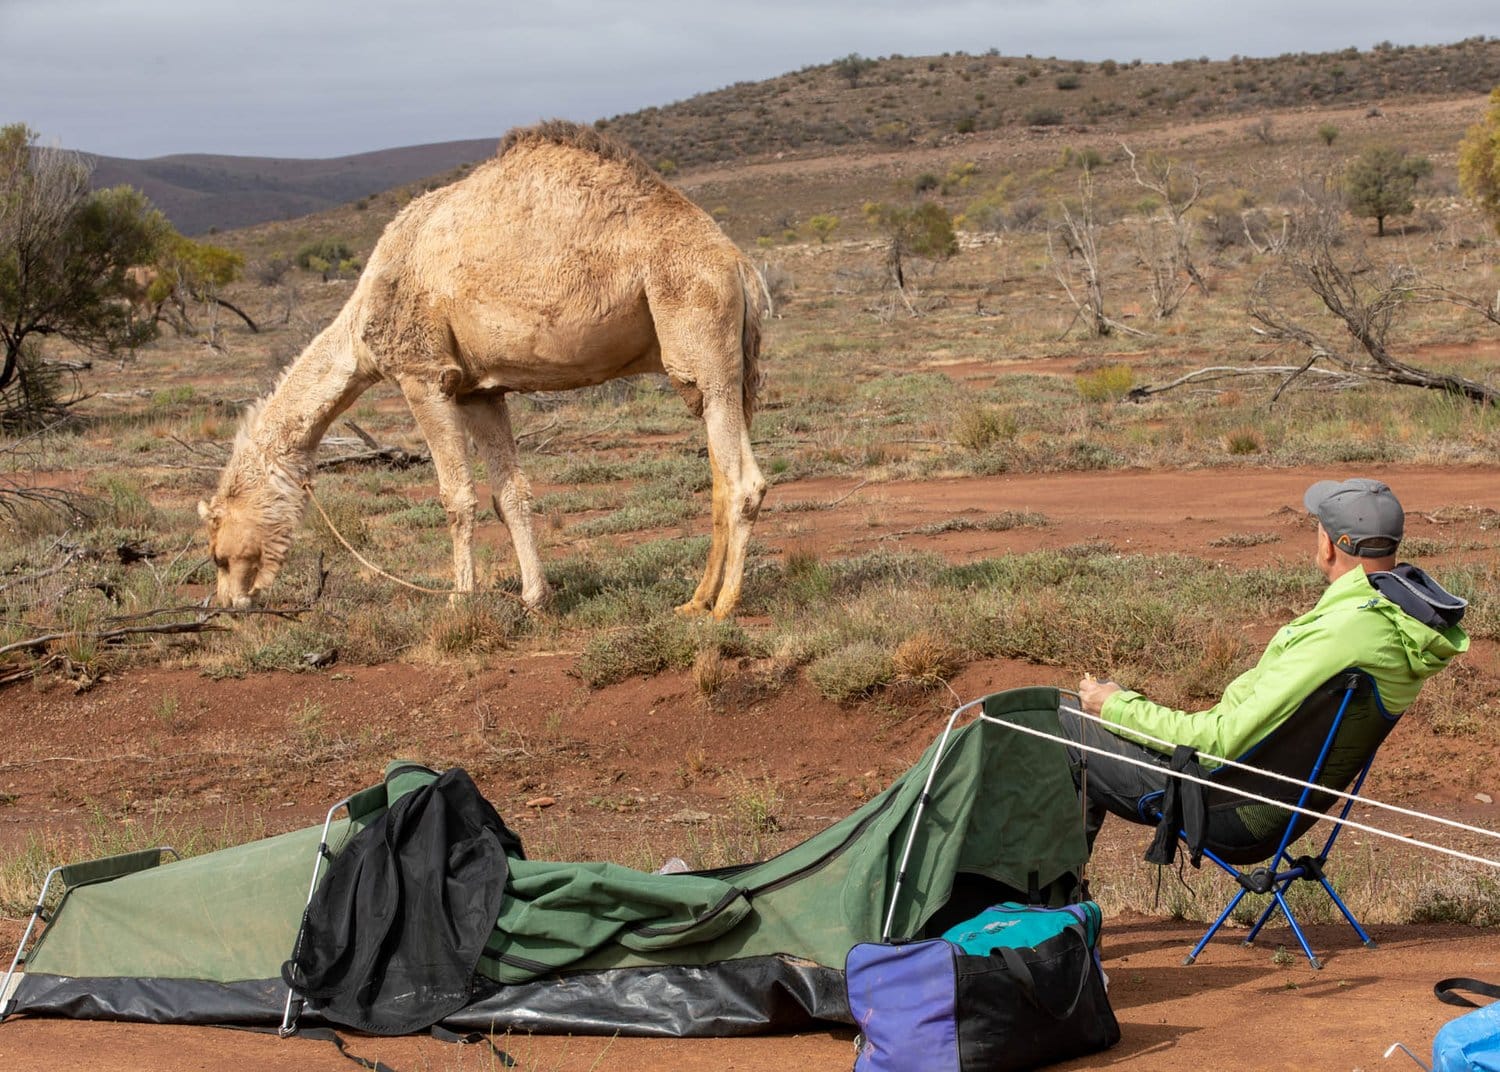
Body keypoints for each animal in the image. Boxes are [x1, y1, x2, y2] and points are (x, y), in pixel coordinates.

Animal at [200, 120, 768, 619]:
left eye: (218, 551)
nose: (228, 604)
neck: (360, 327)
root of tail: (740, 263)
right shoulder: (480, 391)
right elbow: (510, 495)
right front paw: (535, 598)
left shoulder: (424, 376)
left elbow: (457, 498)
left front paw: (458, 600)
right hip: (721, 364)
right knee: (722, 476)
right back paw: (695, 599)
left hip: (698, 336)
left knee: (743, 482)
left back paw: (722, 608)